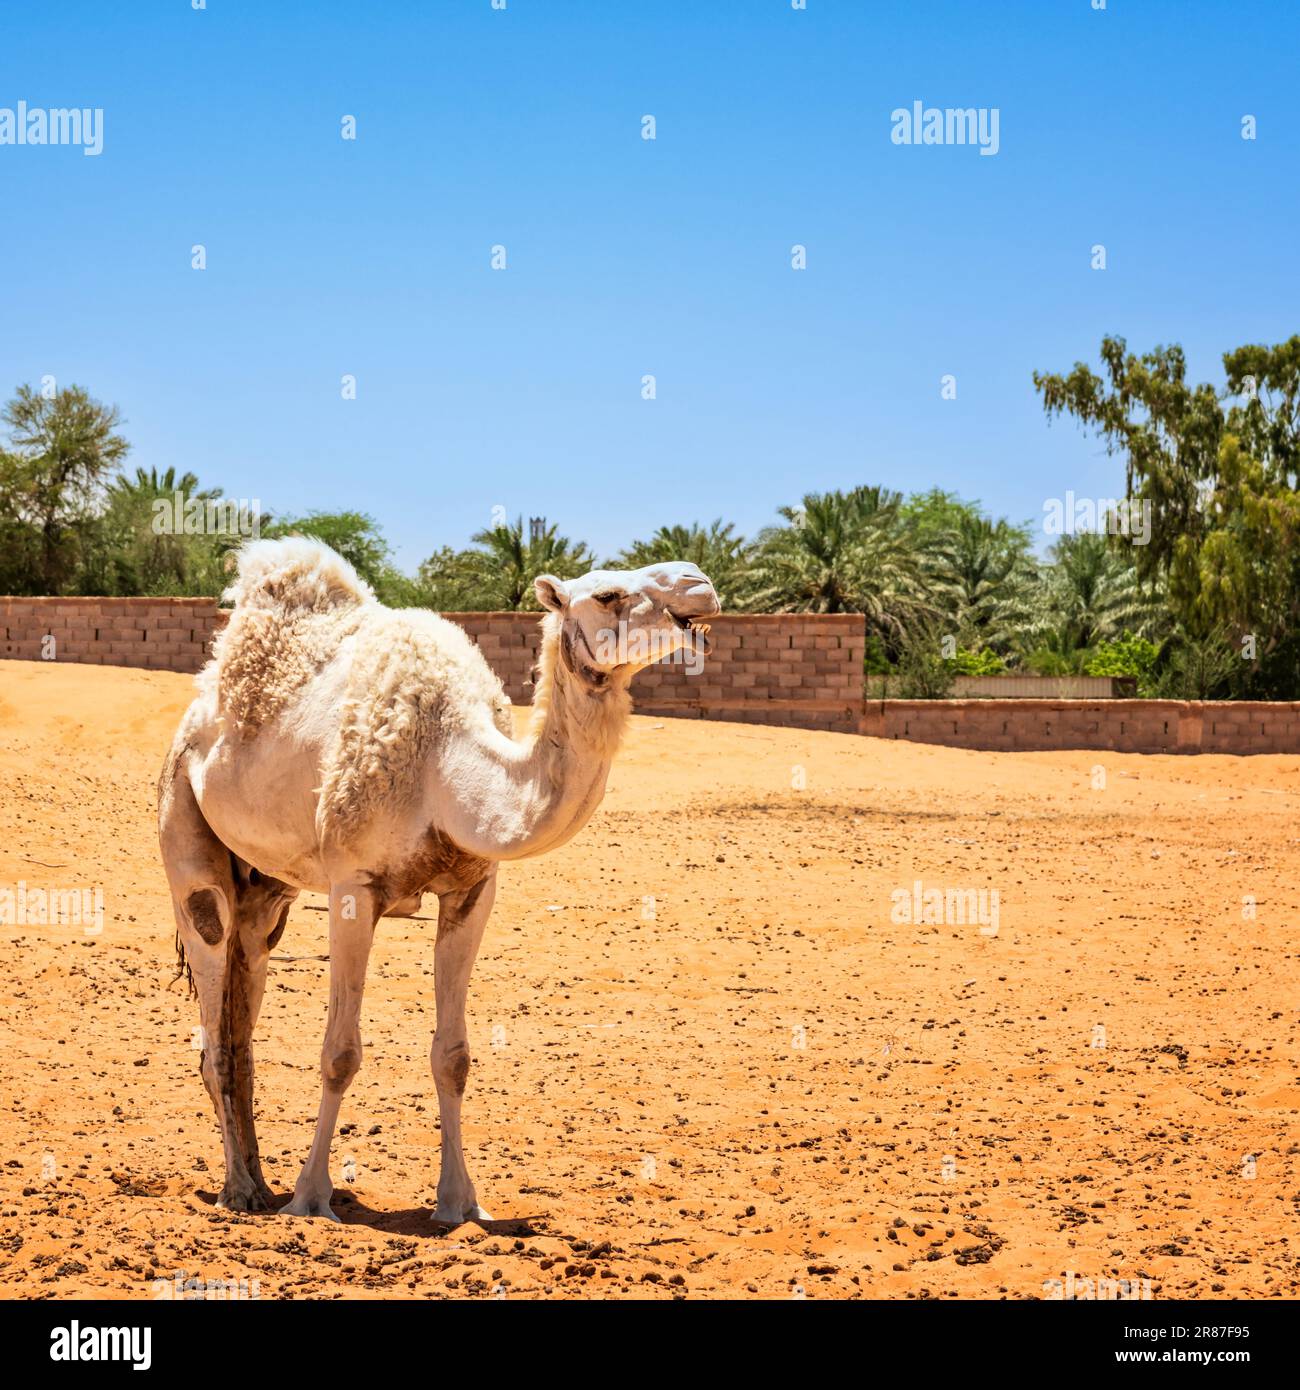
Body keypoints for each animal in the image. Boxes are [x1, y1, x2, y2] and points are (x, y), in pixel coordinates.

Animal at [157, 537, 719, 1223]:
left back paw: (262, 1185)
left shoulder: (472, 890)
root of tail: (196, 711)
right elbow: (339, 1052)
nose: (699, 584)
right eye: (608, 594)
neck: (445, 765)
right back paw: (240, 1189)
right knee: (213, 996)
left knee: (244, 1003)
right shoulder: (353, 886)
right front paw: (313, 1198)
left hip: (267, 889)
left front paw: (459, 1204)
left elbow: (453, 1057)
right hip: (184, 830)